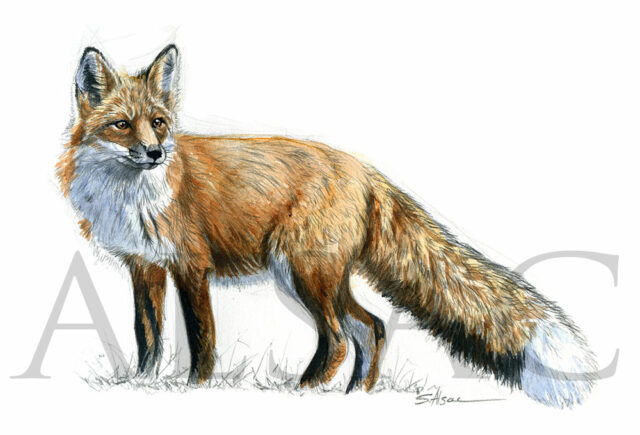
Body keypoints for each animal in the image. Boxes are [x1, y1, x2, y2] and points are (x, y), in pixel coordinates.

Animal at [57, 44, 596, 408]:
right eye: (122, 125)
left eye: (159, 123)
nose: (155, 153)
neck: (132, 195)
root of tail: (365, 170)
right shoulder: (143, 265)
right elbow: (147, 336)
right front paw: (142, 387)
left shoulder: (191, 265)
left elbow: (201, 337)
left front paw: (197, 391)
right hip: (323, 279)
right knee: (371, 328)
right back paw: (355, 400)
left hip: (303, 273)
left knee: (339, 338)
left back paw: (300, 396)